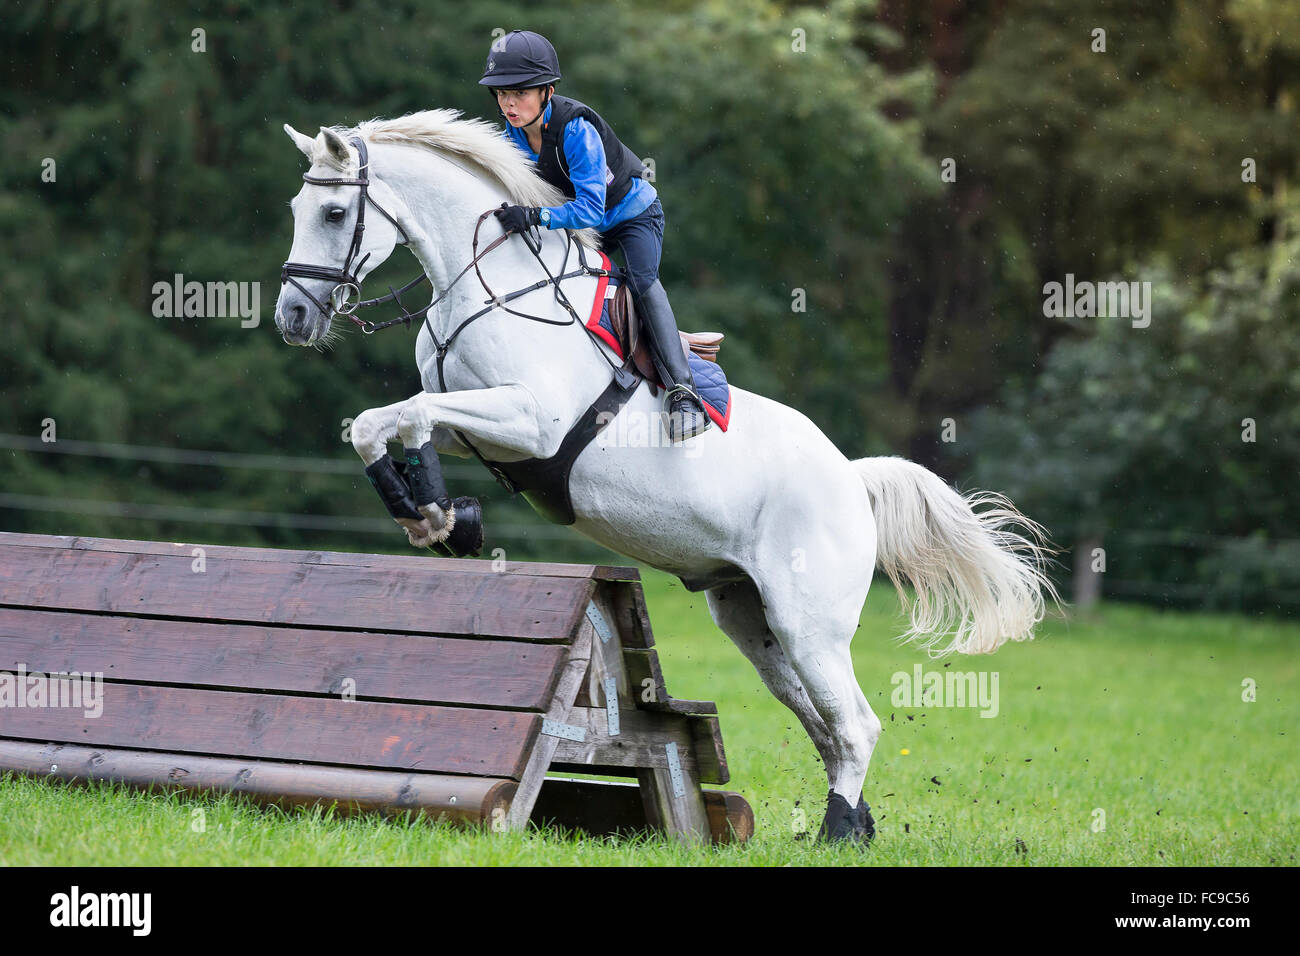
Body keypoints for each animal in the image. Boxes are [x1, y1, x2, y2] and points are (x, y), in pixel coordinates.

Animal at [274, 109, 1059, 844]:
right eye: (295, 209)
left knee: (855, 725)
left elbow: (405, 415)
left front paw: (434, 515)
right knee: (825, 726)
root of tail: (852, 480)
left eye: (335, 214)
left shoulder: (530, 422)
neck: (488, 285)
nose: (292, 317)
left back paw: (839, 831)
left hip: (809, 621)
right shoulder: (476, 427)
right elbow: (389, 421)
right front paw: (434, 515)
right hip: (753, 619)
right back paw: (855, 827)